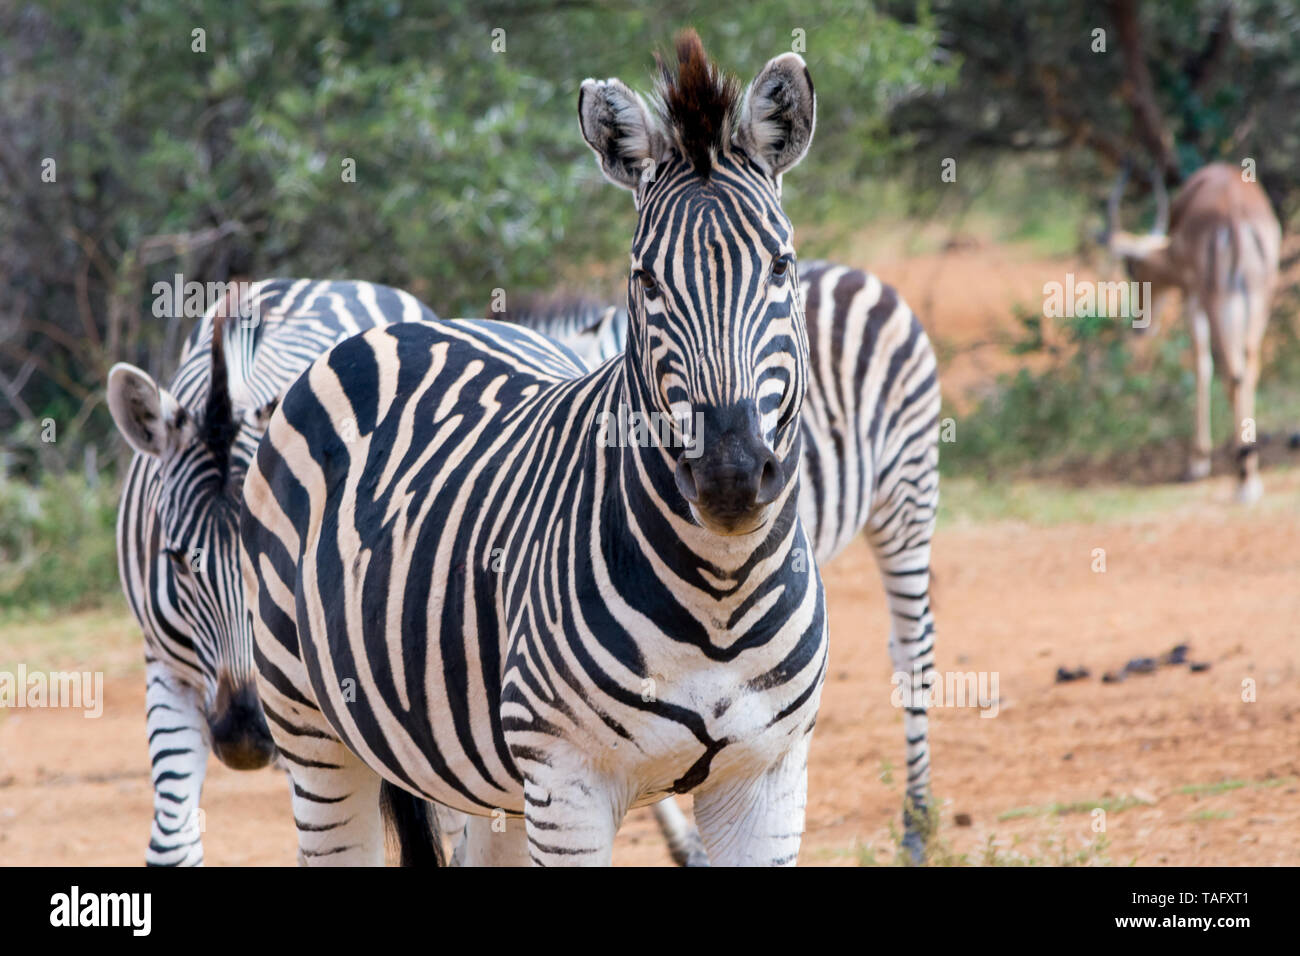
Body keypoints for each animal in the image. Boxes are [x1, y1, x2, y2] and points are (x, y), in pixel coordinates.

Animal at [240, 31, 827, 866]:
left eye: (781, 266)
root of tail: (400, 326)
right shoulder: (567, 783)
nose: (731, 475)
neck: (721, 593)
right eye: (646, 280)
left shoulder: (768, 777)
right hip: (311, 728)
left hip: (500, 787)